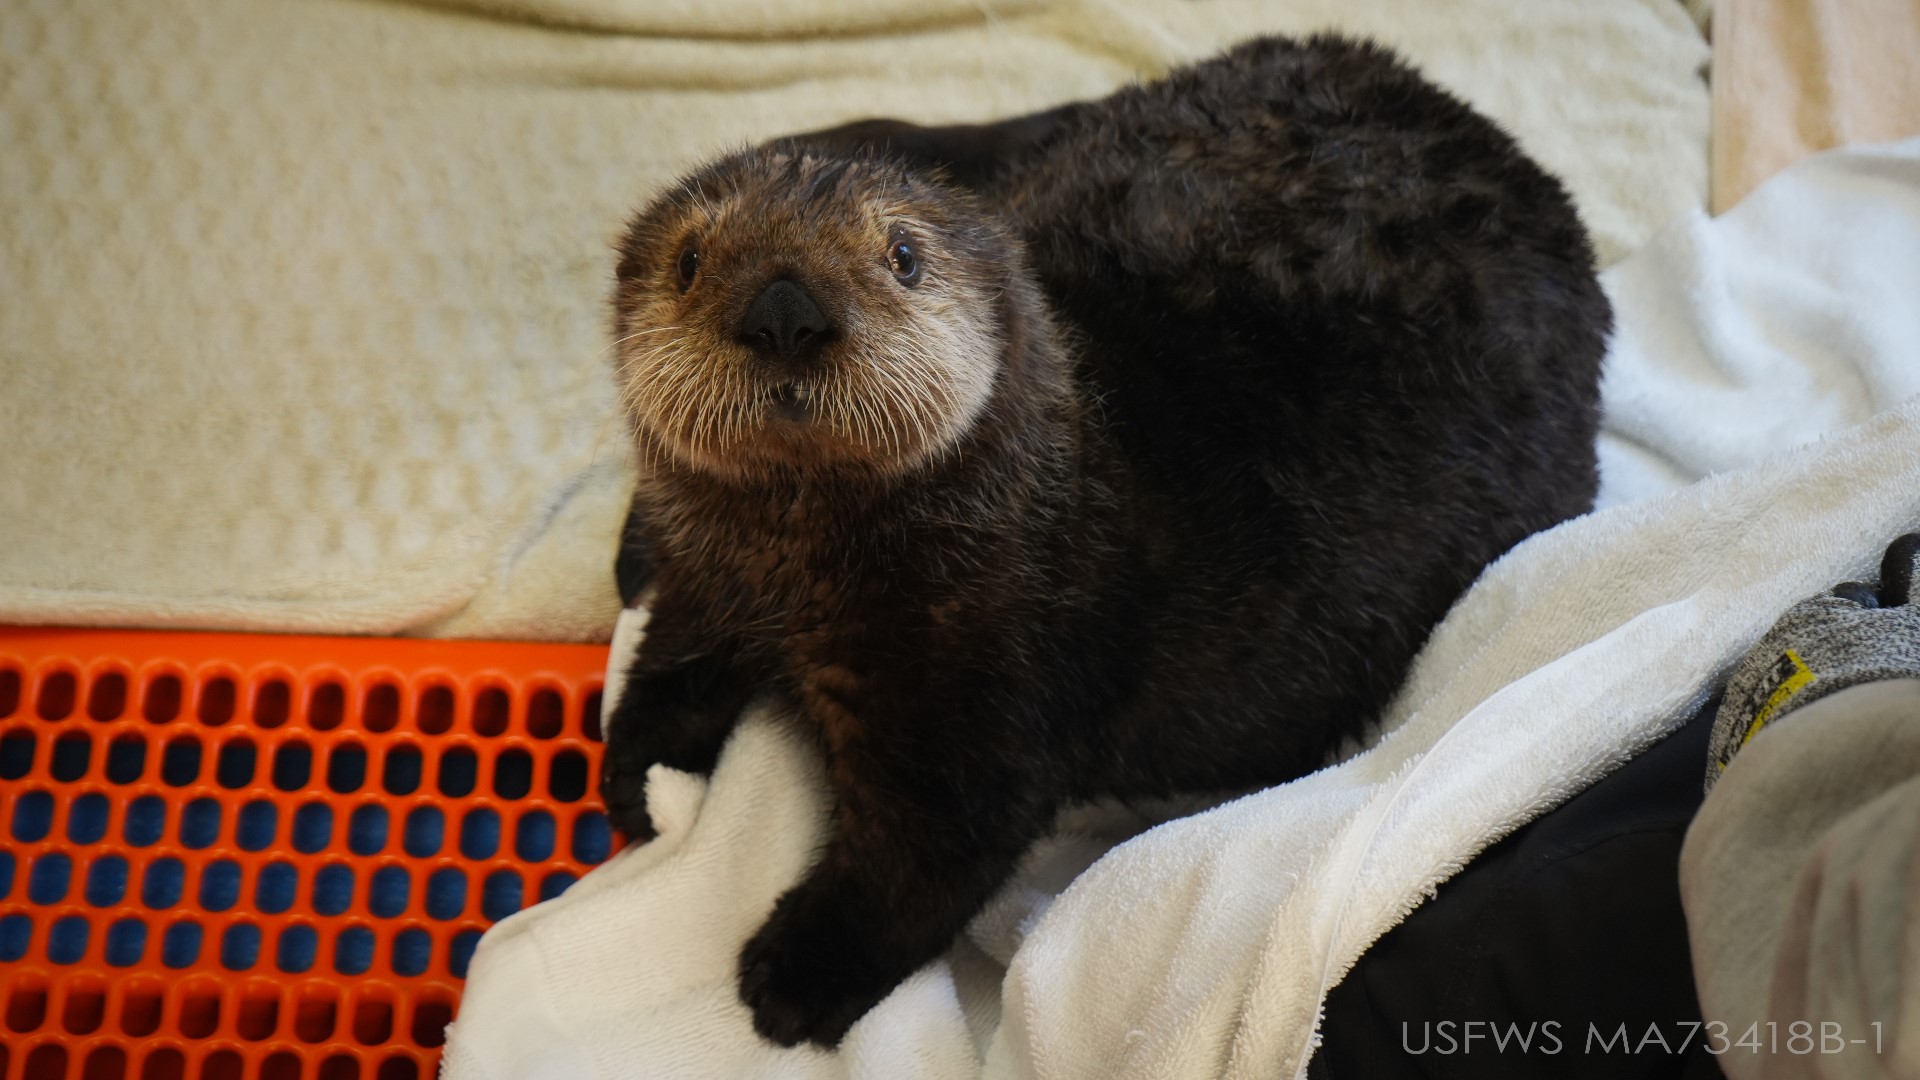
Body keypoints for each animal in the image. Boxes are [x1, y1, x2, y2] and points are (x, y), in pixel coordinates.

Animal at [603, 34, 1610, 1048]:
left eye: (903, 256)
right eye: (690, 259)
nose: (783, 311)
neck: (803, 577)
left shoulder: (989, 681)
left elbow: (926, 846)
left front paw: (794, 974)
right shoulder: (713, 587)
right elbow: (669, 668)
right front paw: (636, 782)